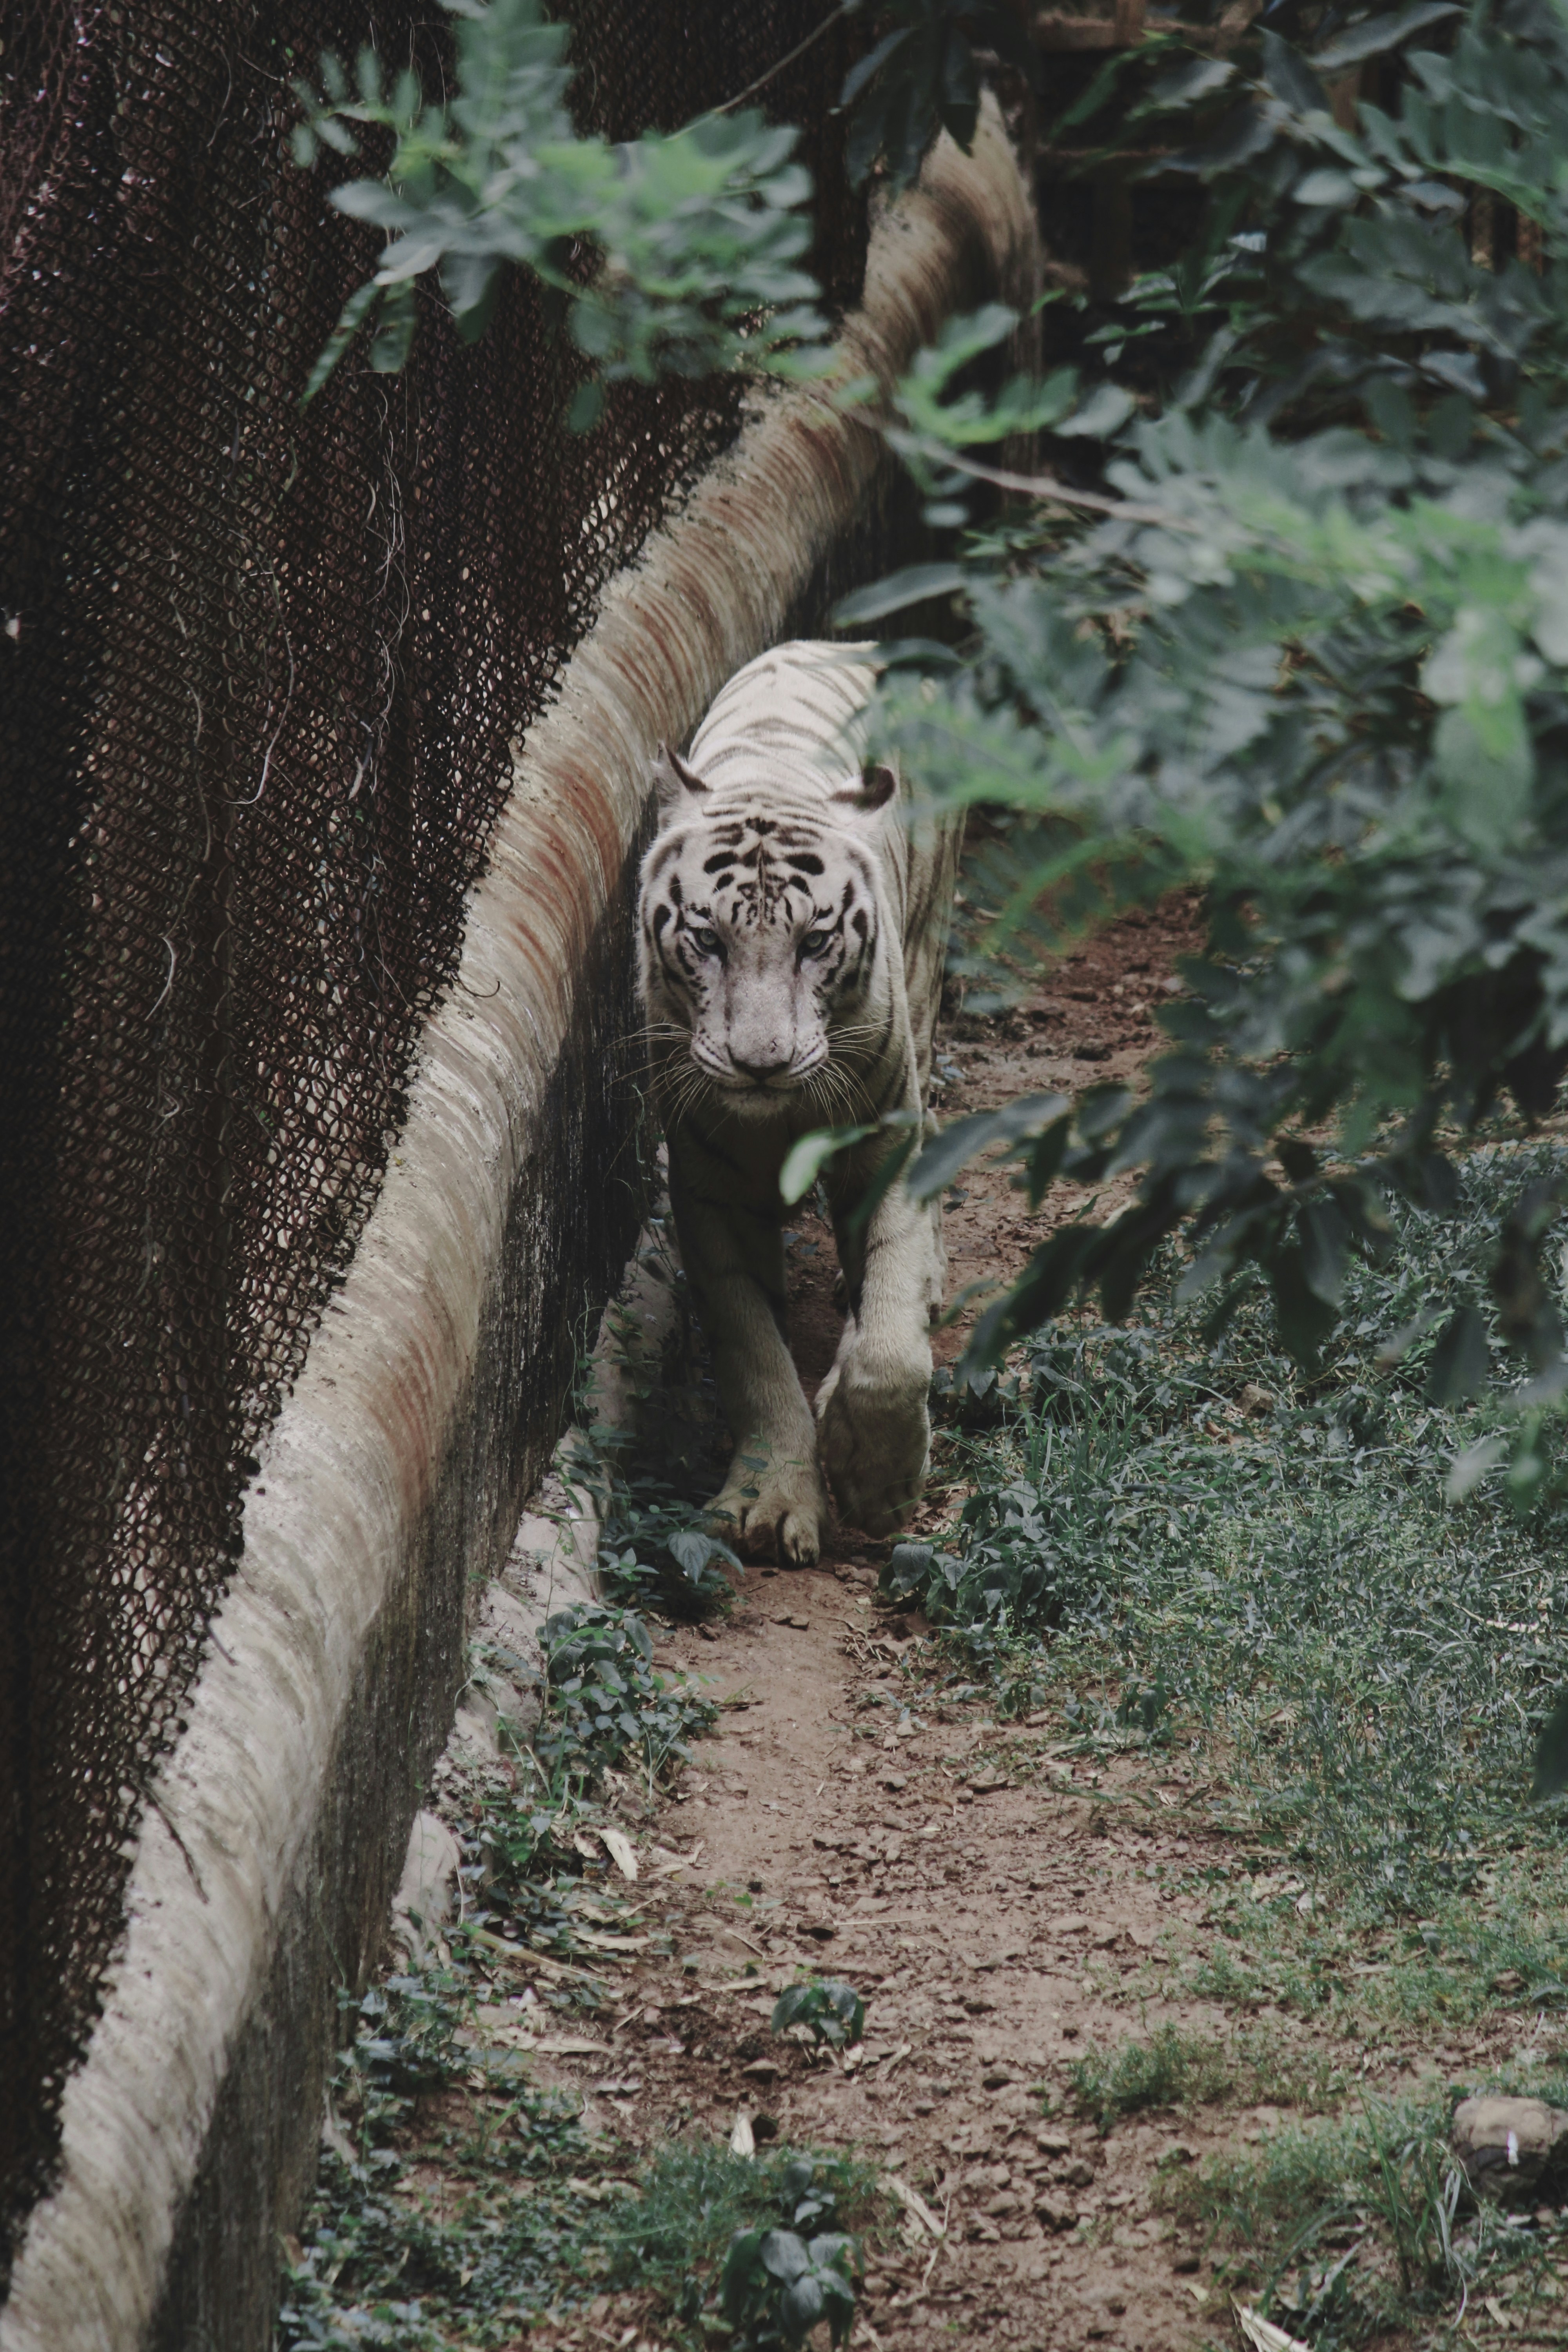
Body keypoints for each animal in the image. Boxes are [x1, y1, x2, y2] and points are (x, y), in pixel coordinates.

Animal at [636, 639, 961, 1566]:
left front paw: (877, 1482)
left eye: (815, 941)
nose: (761, 1065)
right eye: (706, 939)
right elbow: (751, 1346)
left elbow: (889, 1346)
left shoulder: (885, 1143)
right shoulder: (708, 1184)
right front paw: (771, 1498)